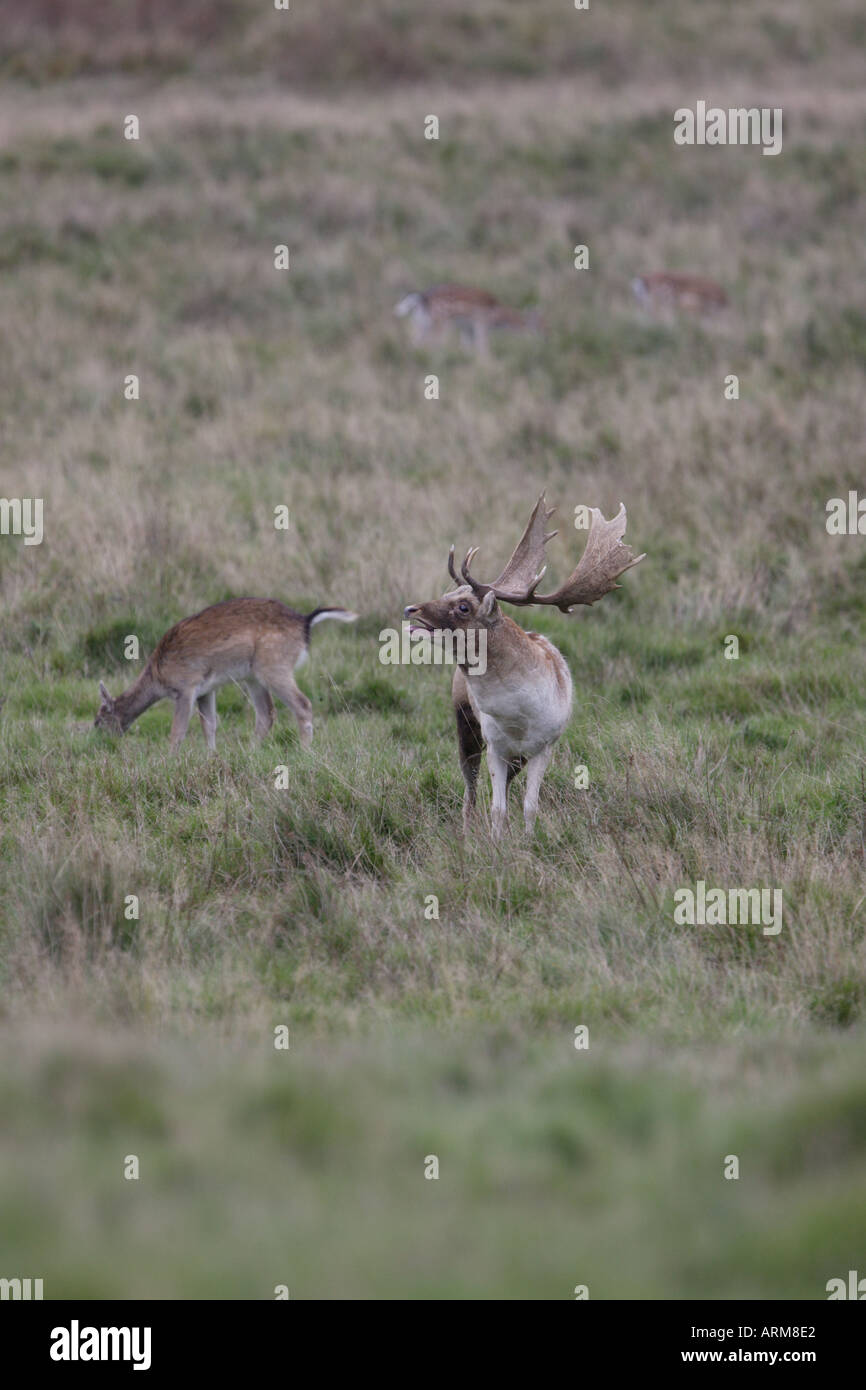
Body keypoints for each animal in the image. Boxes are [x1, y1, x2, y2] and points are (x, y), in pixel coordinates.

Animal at [94, 598, 357, 751]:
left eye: (99, 720)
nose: (100, 742)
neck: (158, 676)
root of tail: (305, 622)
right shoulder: (205, 690)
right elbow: (209, 725)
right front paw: (212, 758)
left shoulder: (186, 686)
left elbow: (177, 731)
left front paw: (169, 761)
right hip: (253, 677)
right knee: (266, 714)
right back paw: (251, 753)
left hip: (274, 666)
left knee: (302, 704)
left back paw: (304, 752)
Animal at [394, 284, 541, 358]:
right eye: (540, 325)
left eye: (544, 323)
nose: (543, 338)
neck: (496, 316)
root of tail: (421, 299)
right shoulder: (480, 322)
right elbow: (482, 346)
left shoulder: (467, 327)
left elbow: (467, 346)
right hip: (441, 322)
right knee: (435, 344)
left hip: (422, 323)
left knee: (415, 342)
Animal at [403, 496, 644, 838]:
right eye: (447, 593)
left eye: (463, 607)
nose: (412, 609)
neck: (520, 717)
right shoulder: (495, 745)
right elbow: (497, 807)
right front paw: (496, 841)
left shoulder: (545, 746)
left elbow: (530, 806)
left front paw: (529, 840)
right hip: (464, 720)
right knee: (470, 788)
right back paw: (466, 829)